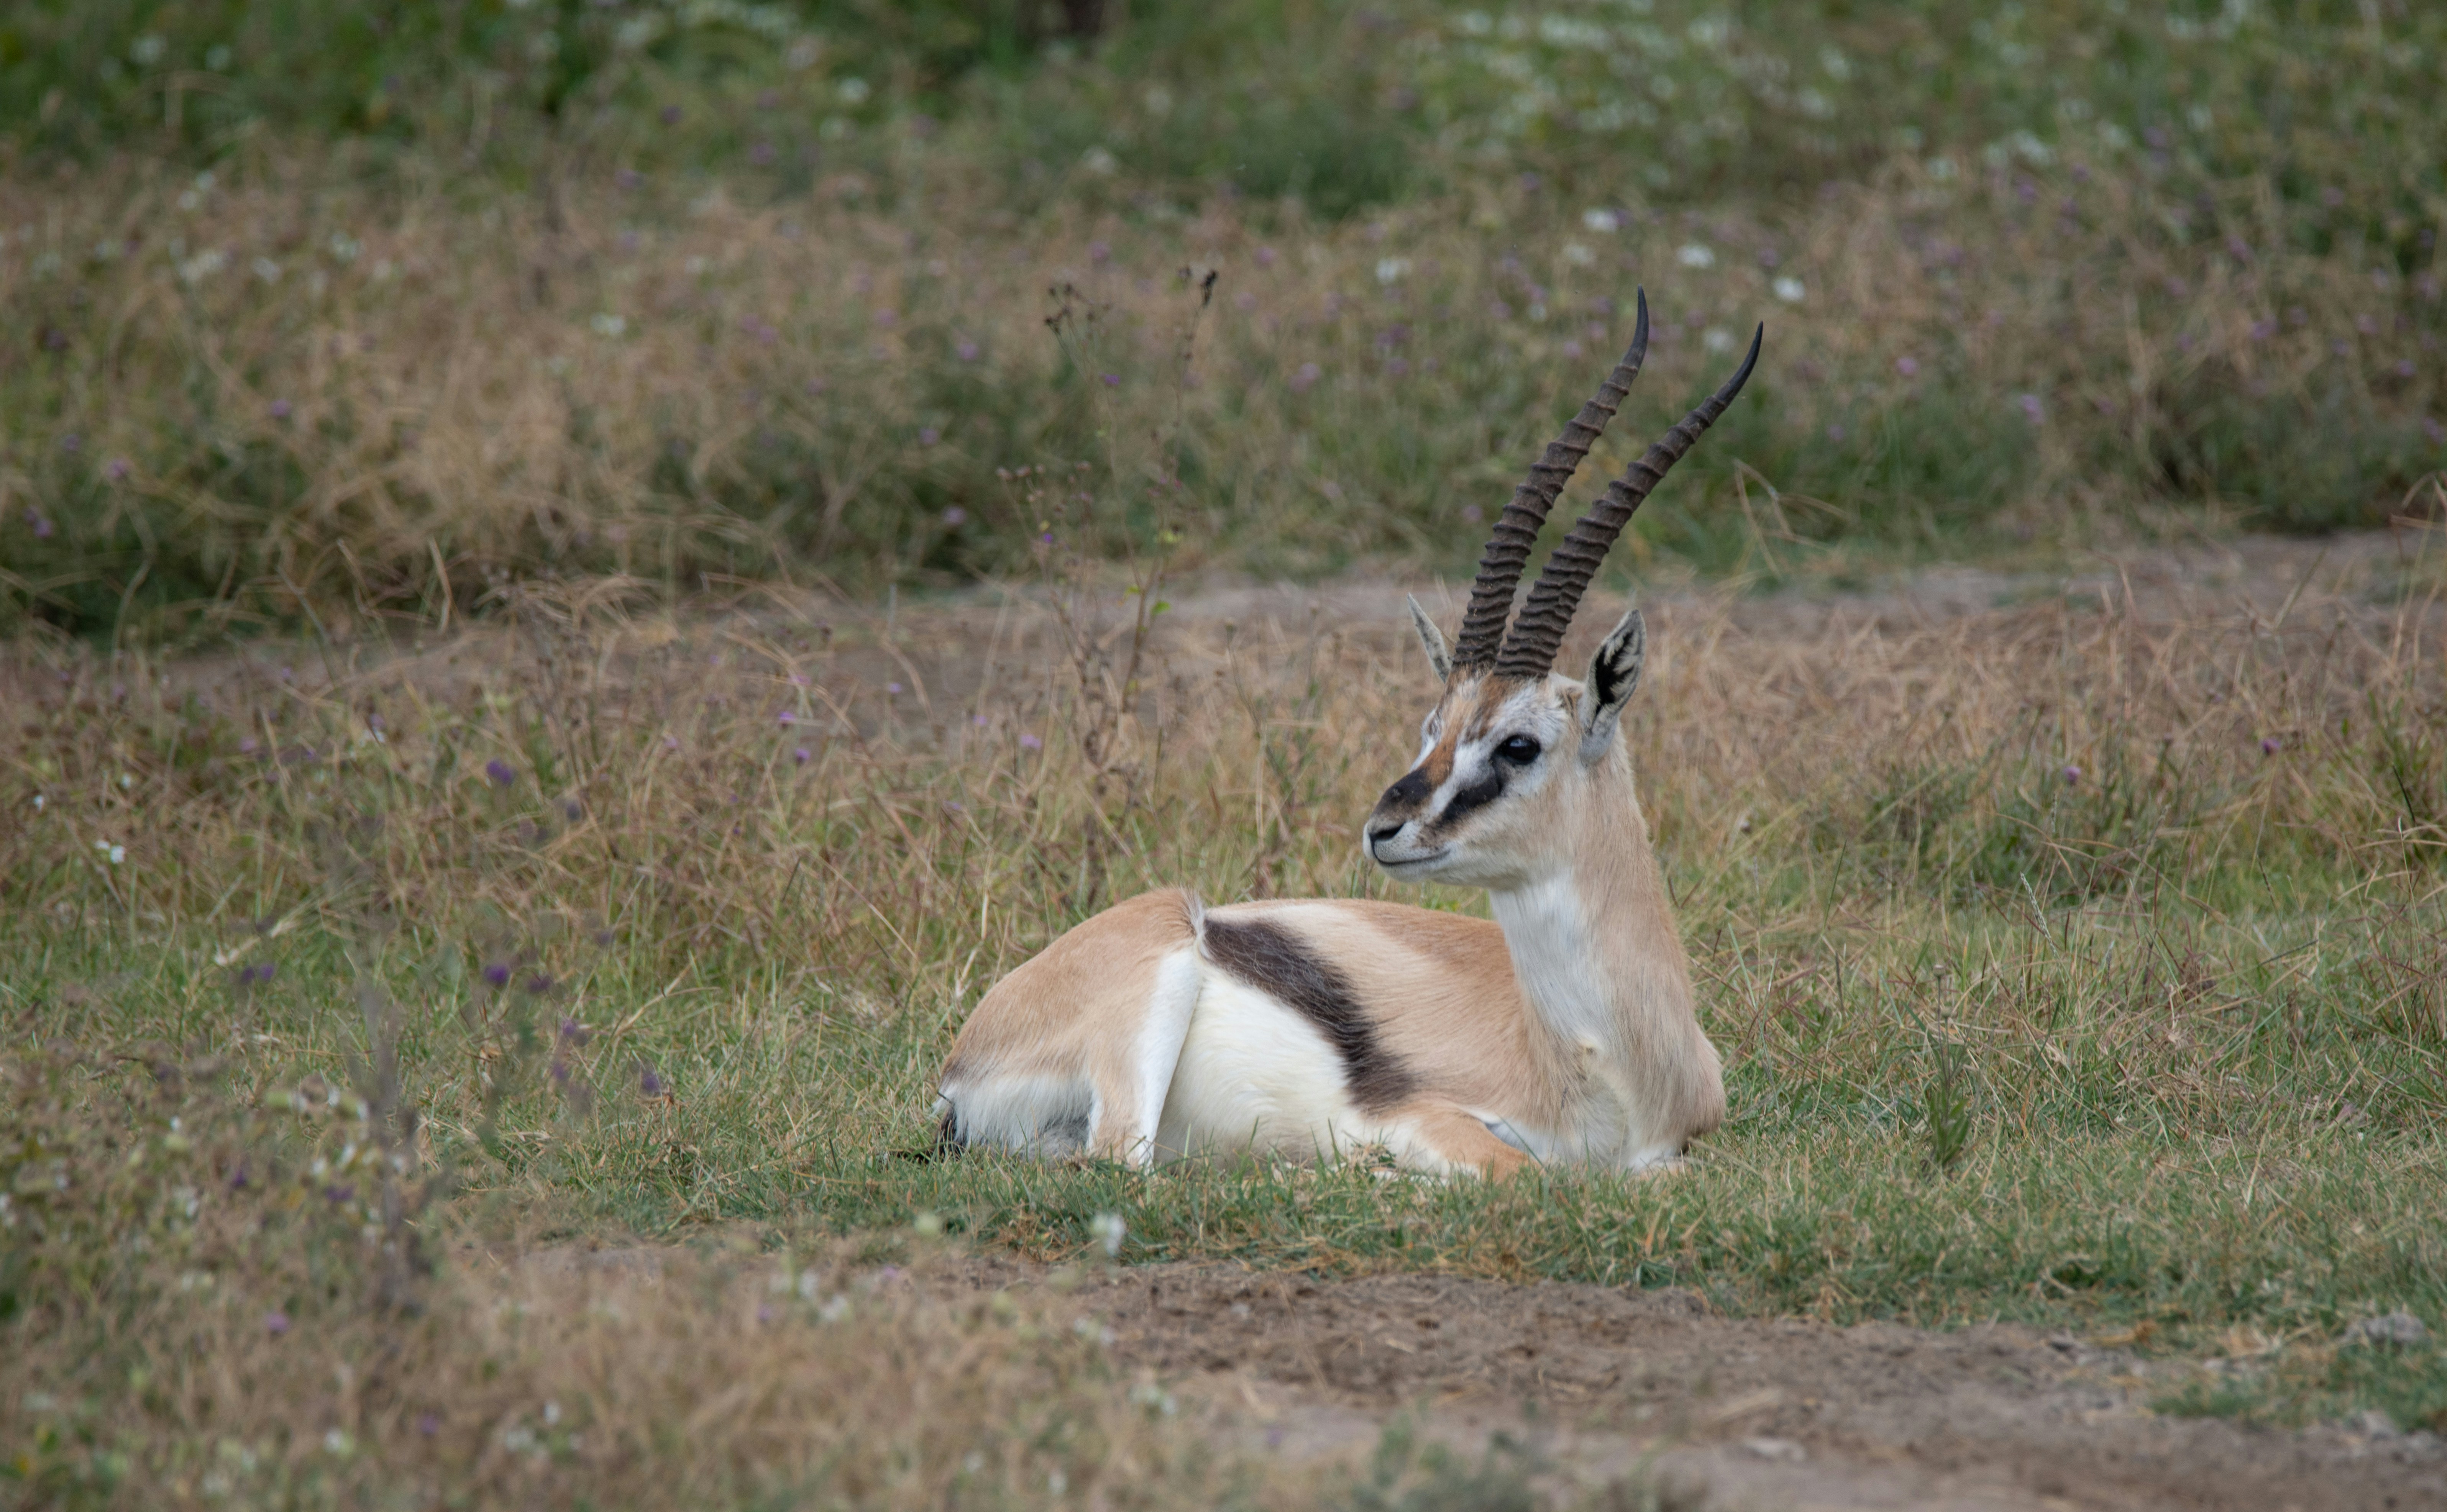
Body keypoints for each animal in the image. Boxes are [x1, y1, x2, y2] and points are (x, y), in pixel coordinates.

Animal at [935, 292, 1757, 1177]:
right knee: (1129, 1158)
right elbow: (1522, 1172)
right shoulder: (1427, 1118)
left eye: (1518, 743)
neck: (1608, 1064)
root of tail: (962, 1062)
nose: (1384, 829)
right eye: (1433, 727)